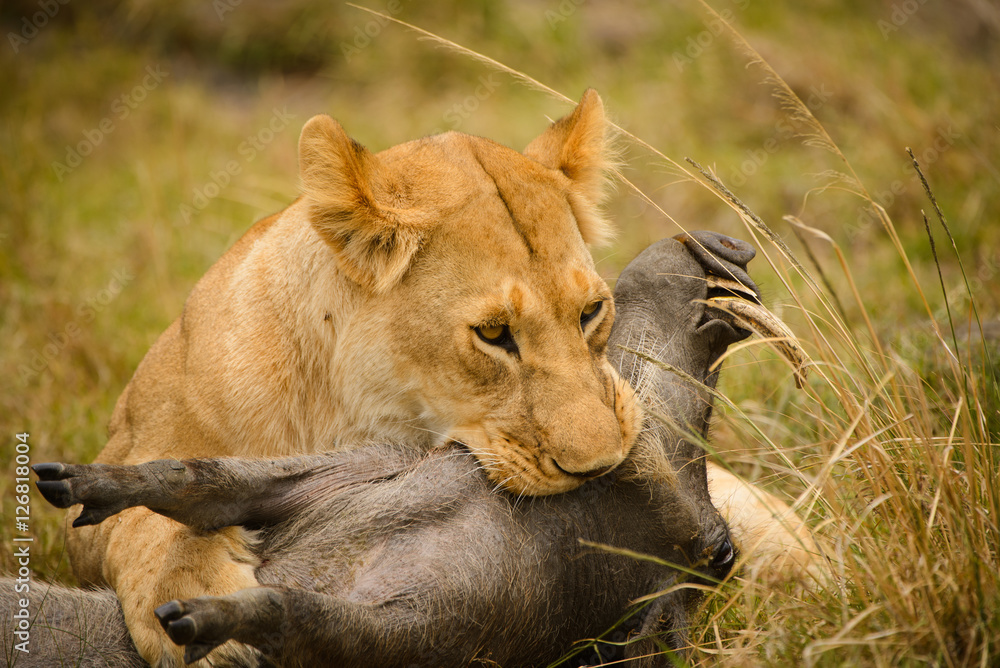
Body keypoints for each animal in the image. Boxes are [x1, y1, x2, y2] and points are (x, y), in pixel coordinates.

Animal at [67, 89, 642, 666]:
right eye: (494, 333)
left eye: (591, 311)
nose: (599, 468)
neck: (348, 410)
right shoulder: (120, 459)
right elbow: (145, 520)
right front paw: (197, 598)